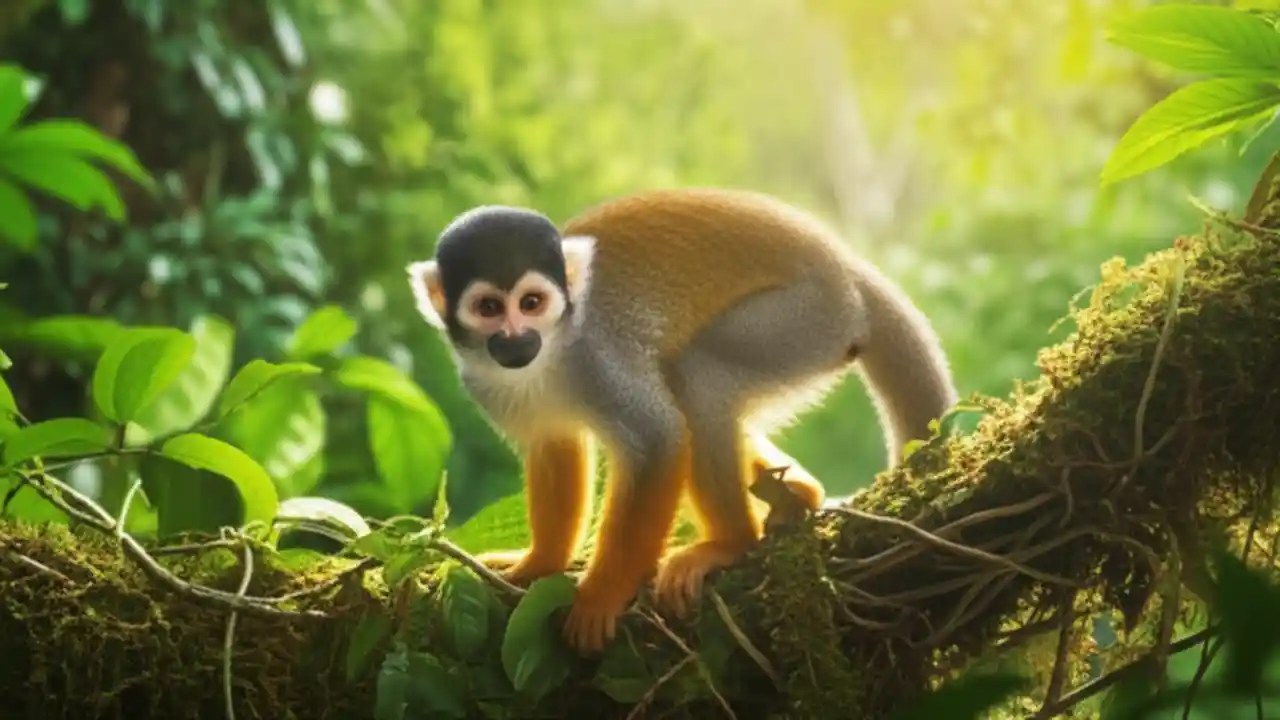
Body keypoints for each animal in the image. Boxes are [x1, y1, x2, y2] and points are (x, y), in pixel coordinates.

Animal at [406, 188, 957, 654]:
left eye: (532, 303)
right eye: (489, 308)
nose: (517, 338)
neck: (554, 352)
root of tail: (846, 267)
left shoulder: (598, 355)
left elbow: (660, 439)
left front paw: (603, 593)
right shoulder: (483, 381)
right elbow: (554, 445)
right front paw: (540, 564)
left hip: (806, 320)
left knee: (697, 377)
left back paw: (731, 544)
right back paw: (798, 495)